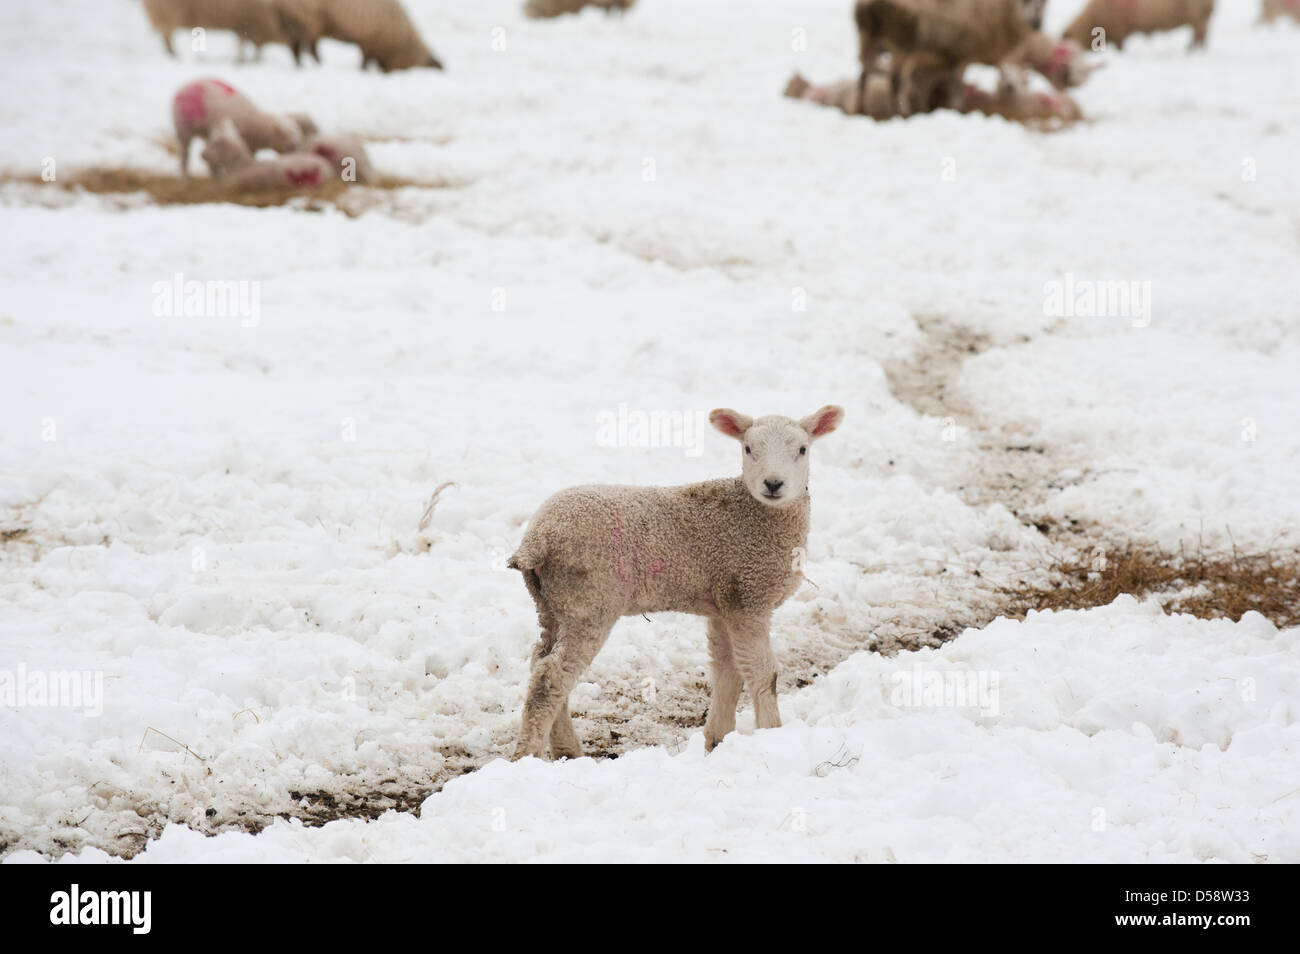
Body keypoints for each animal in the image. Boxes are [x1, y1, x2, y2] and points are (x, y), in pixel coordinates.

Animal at [142, 0, 287, 60]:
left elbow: (244, 45)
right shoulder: (246, 24)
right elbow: (244, 45)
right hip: (168, 13)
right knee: (167, 36)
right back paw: (174, 54)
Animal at [172, 78, 302, 176]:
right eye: (289, 144)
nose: (295, 156)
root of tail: (181, 88)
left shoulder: (251, 145)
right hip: (183, 128)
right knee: (185, 153)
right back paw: (187, 175)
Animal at [507, 405, 845, 761]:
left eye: (803, 449)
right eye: (748, 449)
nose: (773, 483)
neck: (757, 514)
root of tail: (537, 540)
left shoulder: (725, 603)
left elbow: (727, 671)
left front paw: (717, 739)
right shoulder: (748, 598)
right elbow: (764, 673)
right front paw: (772, 734)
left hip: (551, 604)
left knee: (540, 664)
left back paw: (567, 750)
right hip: (588, 603)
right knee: (551, 678)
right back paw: (527, 756)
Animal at [854, 0, 1047, 116]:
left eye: (1044, 3)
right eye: (1024, 1)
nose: (1037, 23)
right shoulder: (962, 56)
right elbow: (957, 88)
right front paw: (956, 109)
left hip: (870, 38)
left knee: (864, 73)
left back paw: (862, 109)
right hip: (902, 43)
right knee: (895, 79)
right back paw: (901, 113)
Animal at [1063, 0, 1217, 52]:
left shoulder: (1119, 29)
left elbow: (1120, 47)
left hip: (1198, 17)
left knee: (1199, 35)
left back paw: (1191, 51)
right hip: (1200, 18)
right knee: (1201, 35)